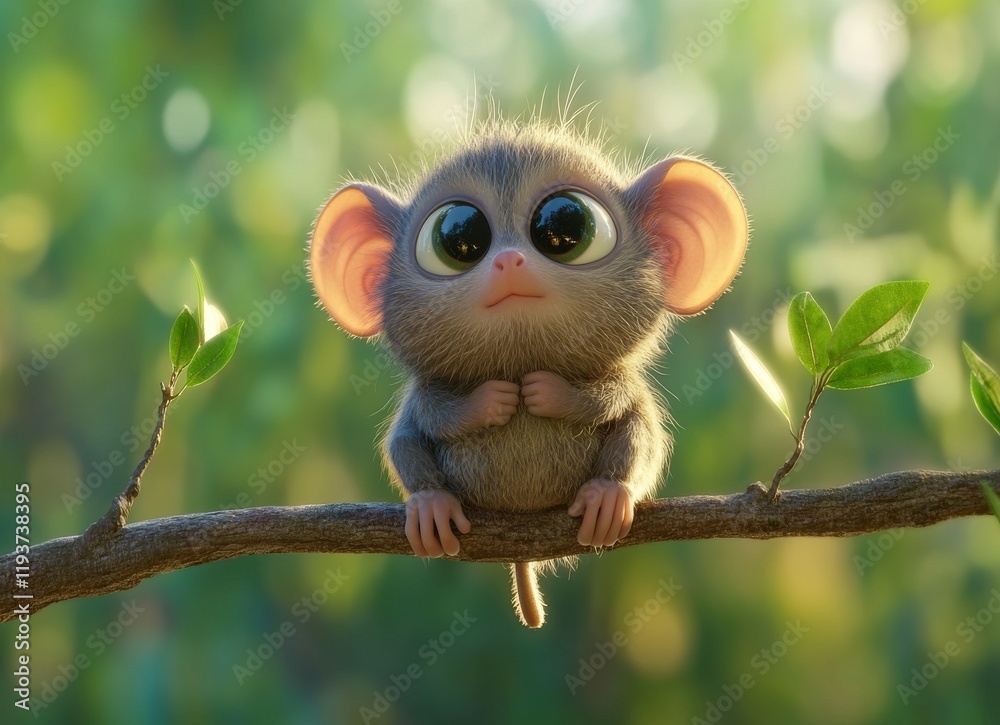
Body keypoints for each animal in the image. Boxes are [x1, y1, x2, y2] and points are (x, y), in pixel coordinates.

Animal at [309, 114, 747, 628]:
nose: (508, 259)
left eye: (567, 224)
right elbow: (404, 441)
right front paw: (438, 490)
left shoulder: (625, 388)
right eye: (458, 239)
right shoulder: (422, 400)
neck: (519, 363)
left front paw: (557, 409)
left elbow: (640, 429)